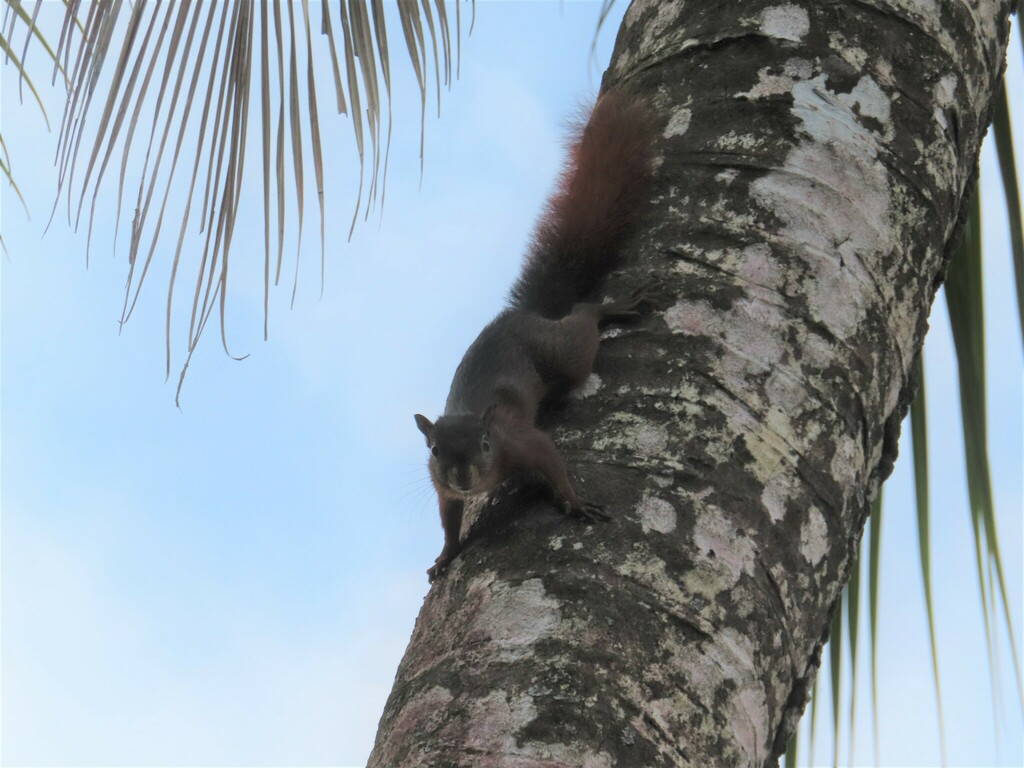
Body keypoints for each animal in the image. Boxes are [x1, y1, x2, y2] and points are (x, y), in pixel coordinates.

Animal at [414, 92, 655, 582]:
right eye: (433, 449)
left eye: (486, 444)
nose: (462, 477)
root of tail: (525, 315)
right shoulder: (439, 486)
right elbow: (448, 519)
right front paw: (447, 554)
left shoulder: (520, 440)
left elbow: (551, 460)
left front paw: (573, 501)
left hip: (562, 355)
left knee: (582, 323)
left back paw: (608, 308)